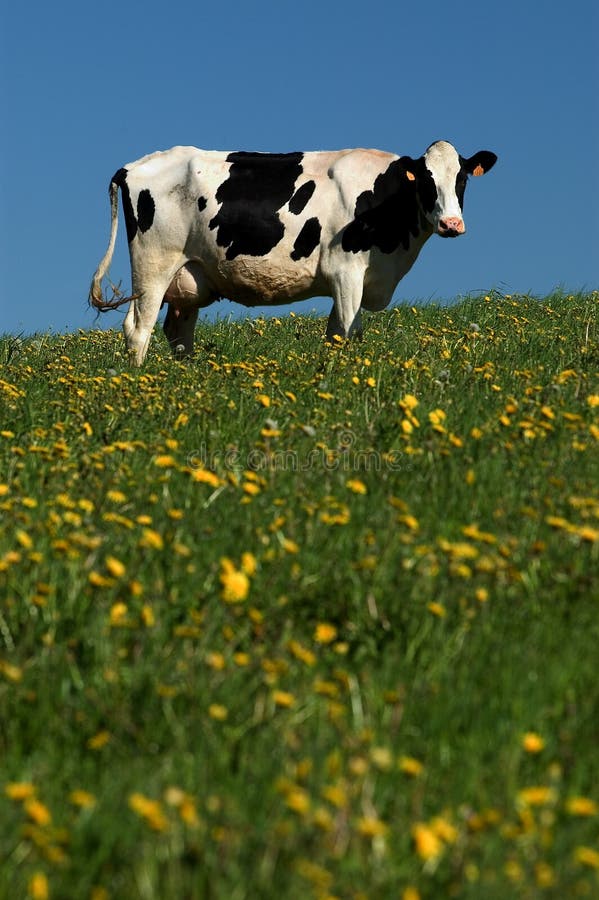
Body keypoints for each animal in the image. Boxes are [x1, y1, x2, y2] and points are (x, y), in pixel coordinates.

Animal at [89, 141, 497, 364]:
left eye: (461, 179)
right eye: (427, 180)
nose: (451, 224)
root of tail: (133, 166)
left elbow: (335, 335)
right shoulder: (347, 272)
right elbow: (351, 330)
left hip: (188, 275)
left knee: (178, 333)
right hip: (153, 265)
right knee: (138, 330)